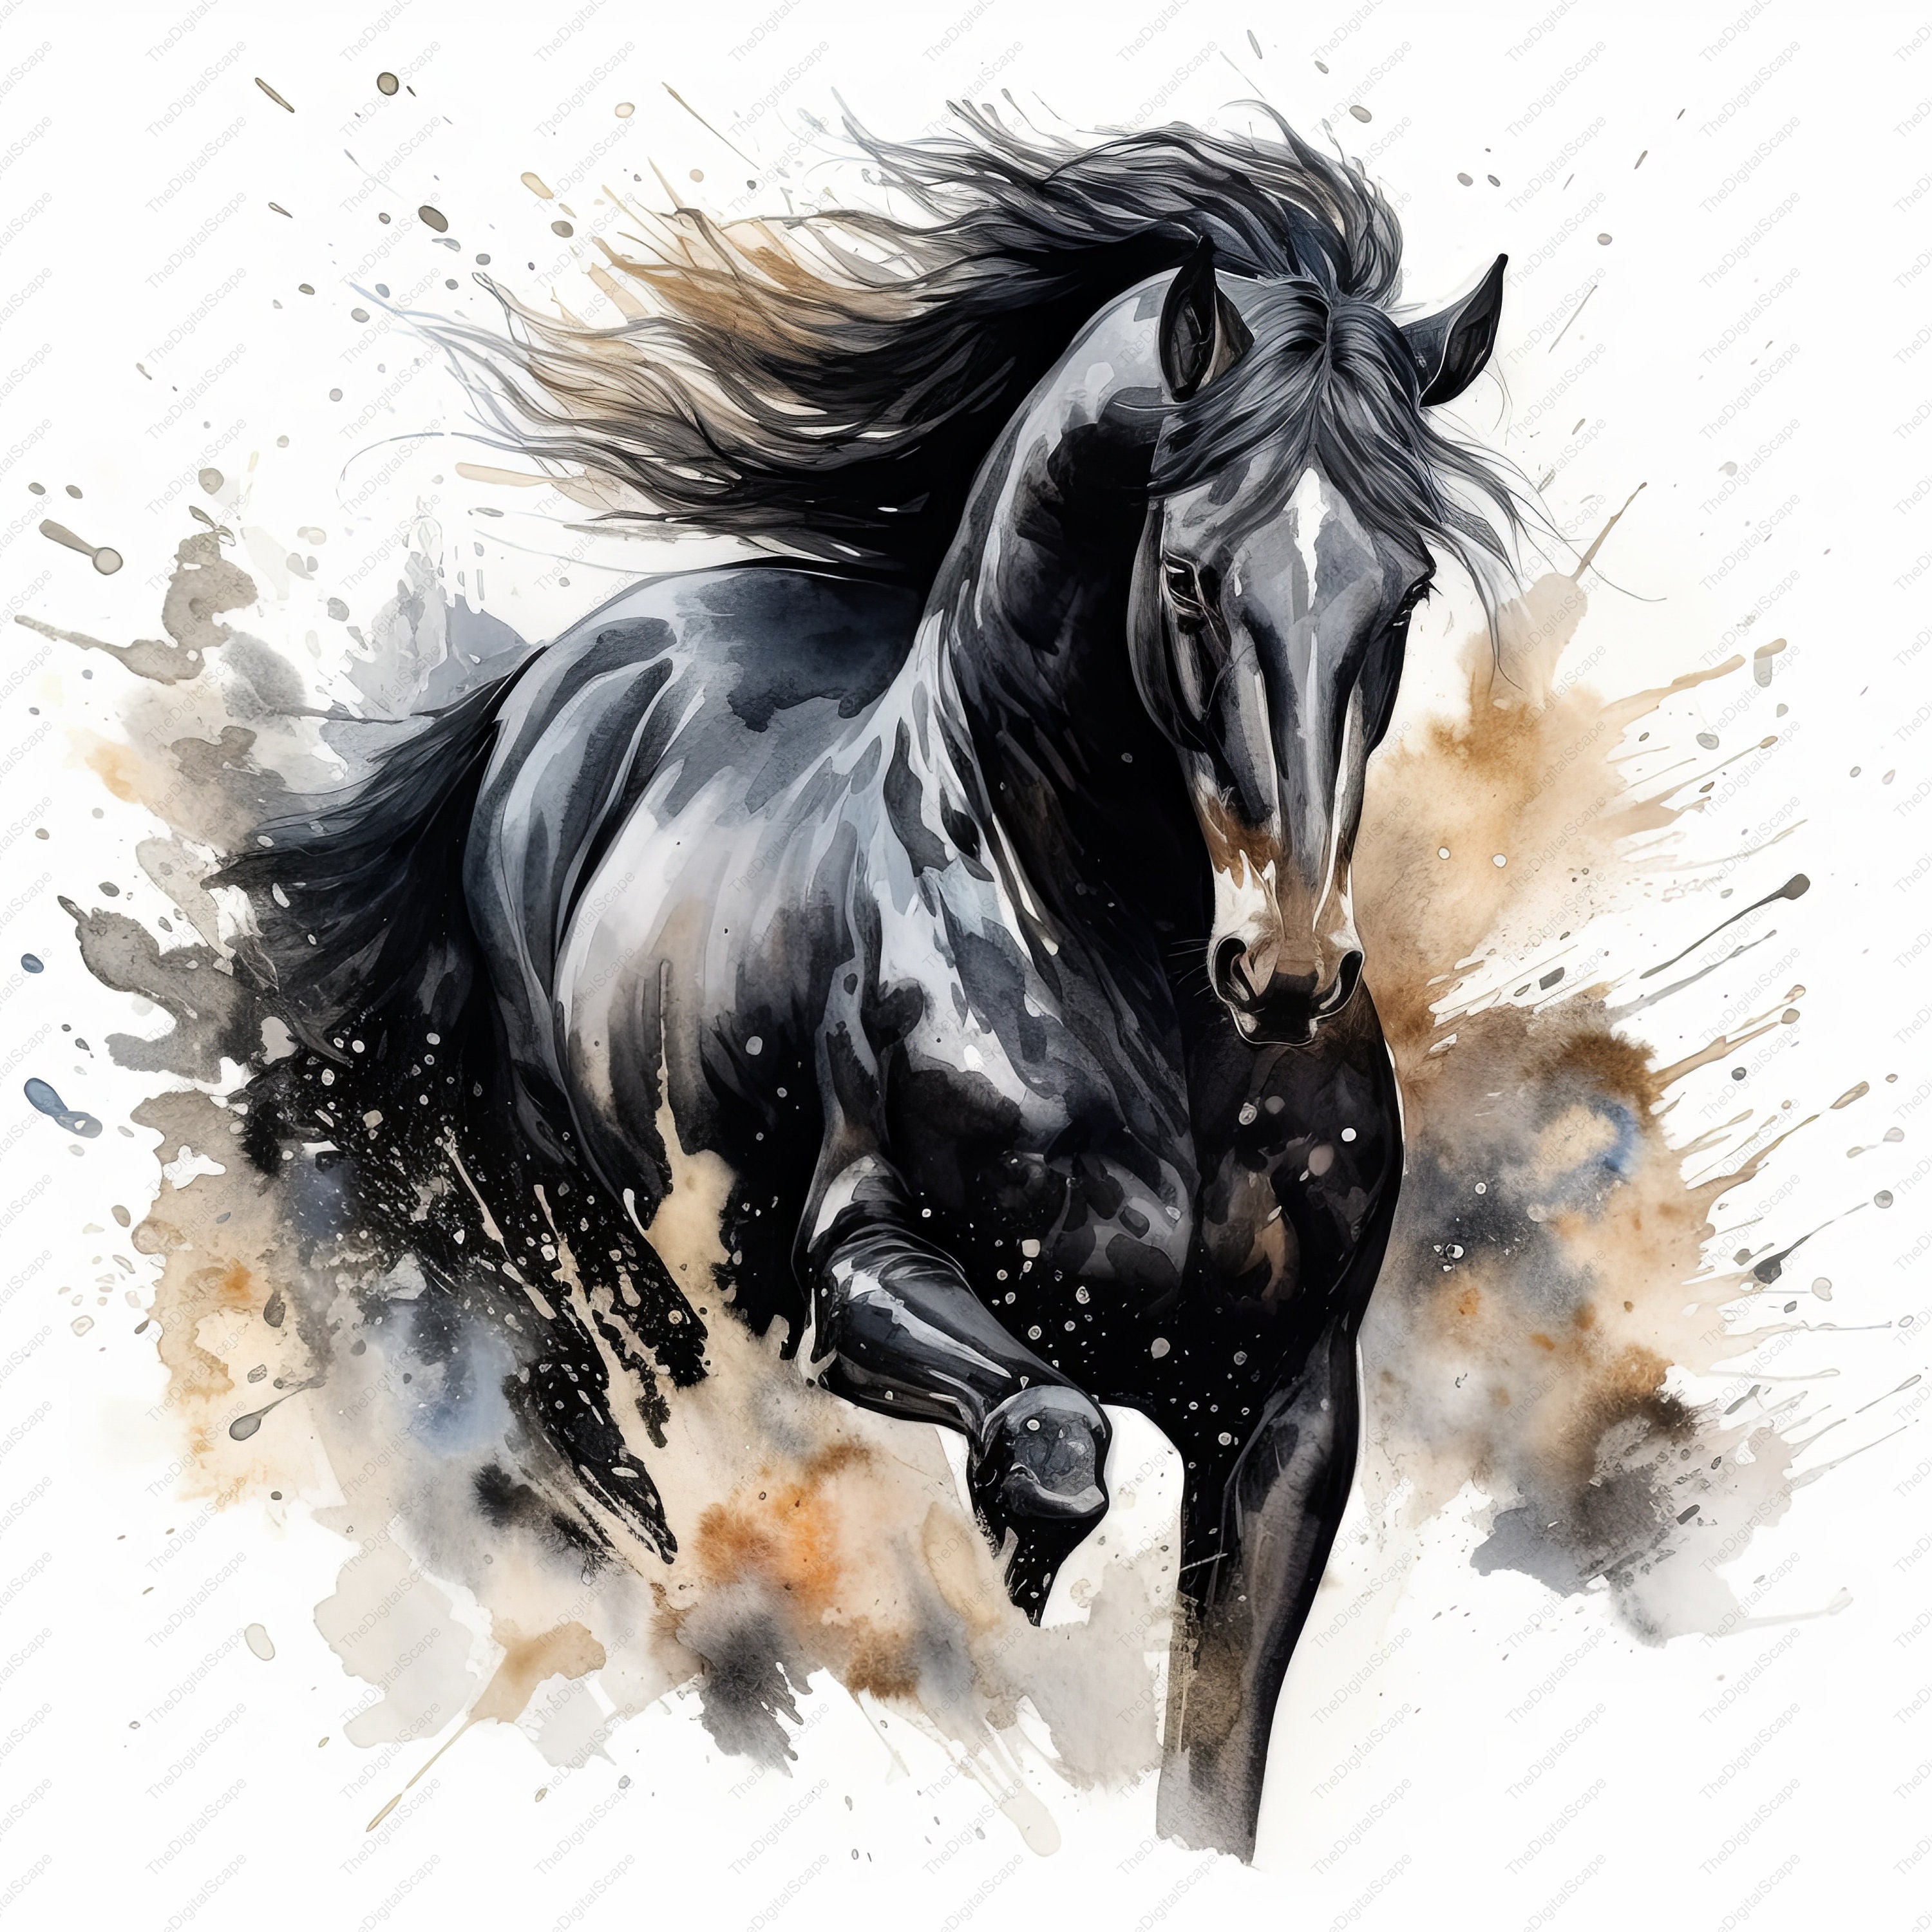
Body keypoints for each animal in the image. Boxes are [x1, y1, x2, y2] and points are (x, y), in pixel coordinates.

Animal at [224, 108, 1523, 1859]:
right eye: (1188, 578)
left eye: (1404, 591)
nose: (1289, 970)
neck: (1137, 996)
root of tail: (550, 694)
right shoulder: (853, 1275)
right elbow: (1048, 1436)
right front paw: (1015, 1576)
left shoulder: (1285, 1414)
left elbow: (1213, 1753)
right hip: (604, 1274)